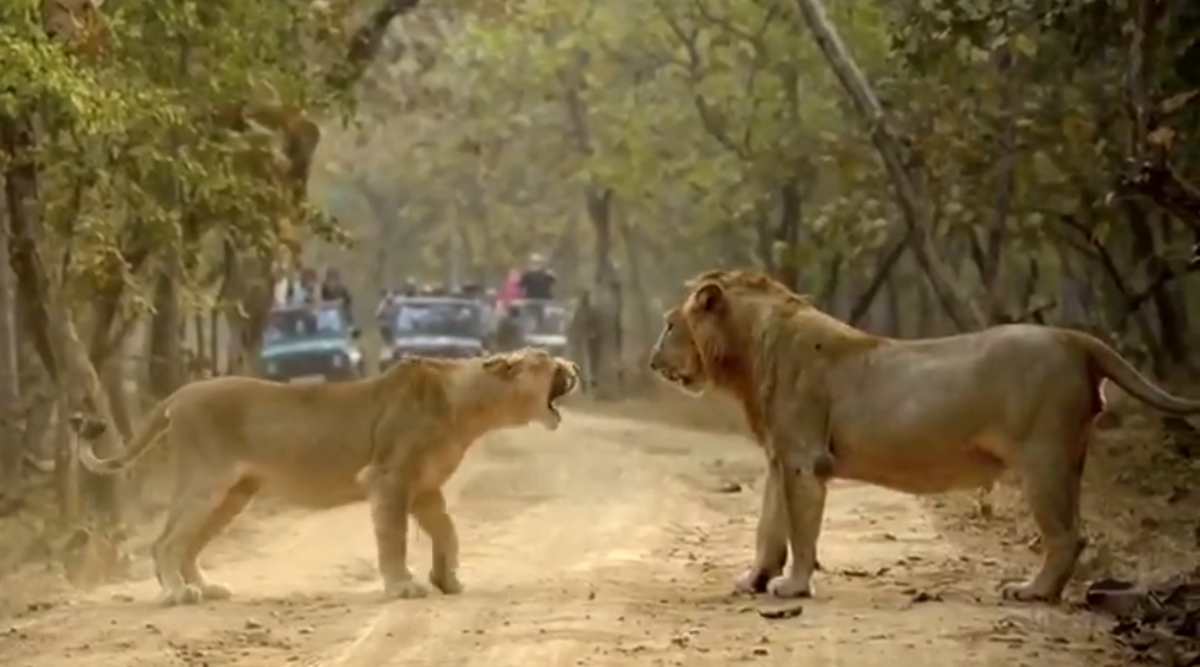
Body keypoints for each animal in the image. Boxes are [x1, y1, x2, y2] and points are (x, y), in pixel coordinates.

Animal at [77, 348, 580, 606]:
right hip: (206, 482)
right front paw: (403, 587)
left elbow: (447, 532)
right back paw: (178, 593)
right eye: (548, 360)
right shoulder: (388, 478)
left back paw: (206, 587)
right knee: (164, 541)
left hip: (234, 494)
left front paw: (447, 580)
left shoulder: (425, 488)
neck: (472, 405)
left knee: (188, 543)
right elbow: (393, 538)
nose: (574, 366)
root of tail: (177, 396)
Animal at [648, 269, 1200, 603]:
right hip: (1071, 455)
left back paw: (1031, 592)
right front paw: (755, 579)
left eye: (671, 325)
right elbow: (768, 527)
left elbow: (801, 530)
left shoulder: (805, 458)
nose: (652, 362)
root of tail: (1075, 337)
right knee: (1075, 531)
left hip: (1043, 459)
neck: (747, 355)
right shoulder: (779, 457)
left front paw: (794, 587)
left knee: (1068, 535)